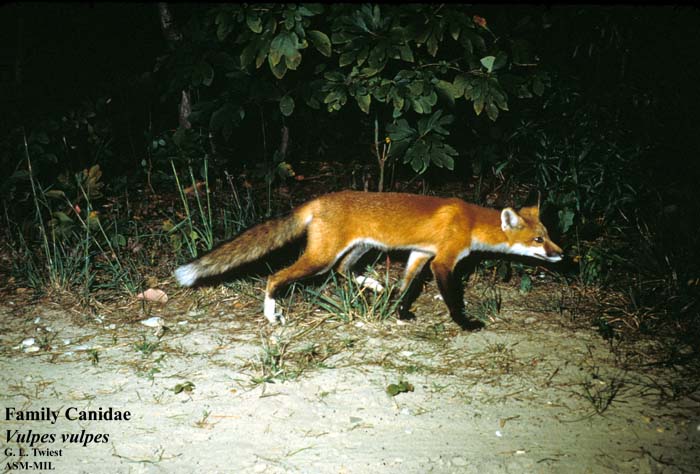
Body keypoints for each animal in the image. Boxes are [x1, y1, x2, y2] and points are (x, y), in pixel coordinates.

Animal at [174, 190, 563, 329]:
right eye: (538, 240)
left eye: (548, 234)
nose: (562, 254)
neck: (470, 221)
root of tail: (318, 199)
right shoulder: (443, 261)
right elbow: (453, 298)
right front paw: (465, 324)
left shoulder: (421, 254)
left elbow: (407, 287)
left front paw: (400, 312)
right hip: (320, 257)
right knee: (275, 277)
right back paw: (272, 313)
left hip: (354, 250)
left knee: (344, 272)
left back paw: (374, 285)